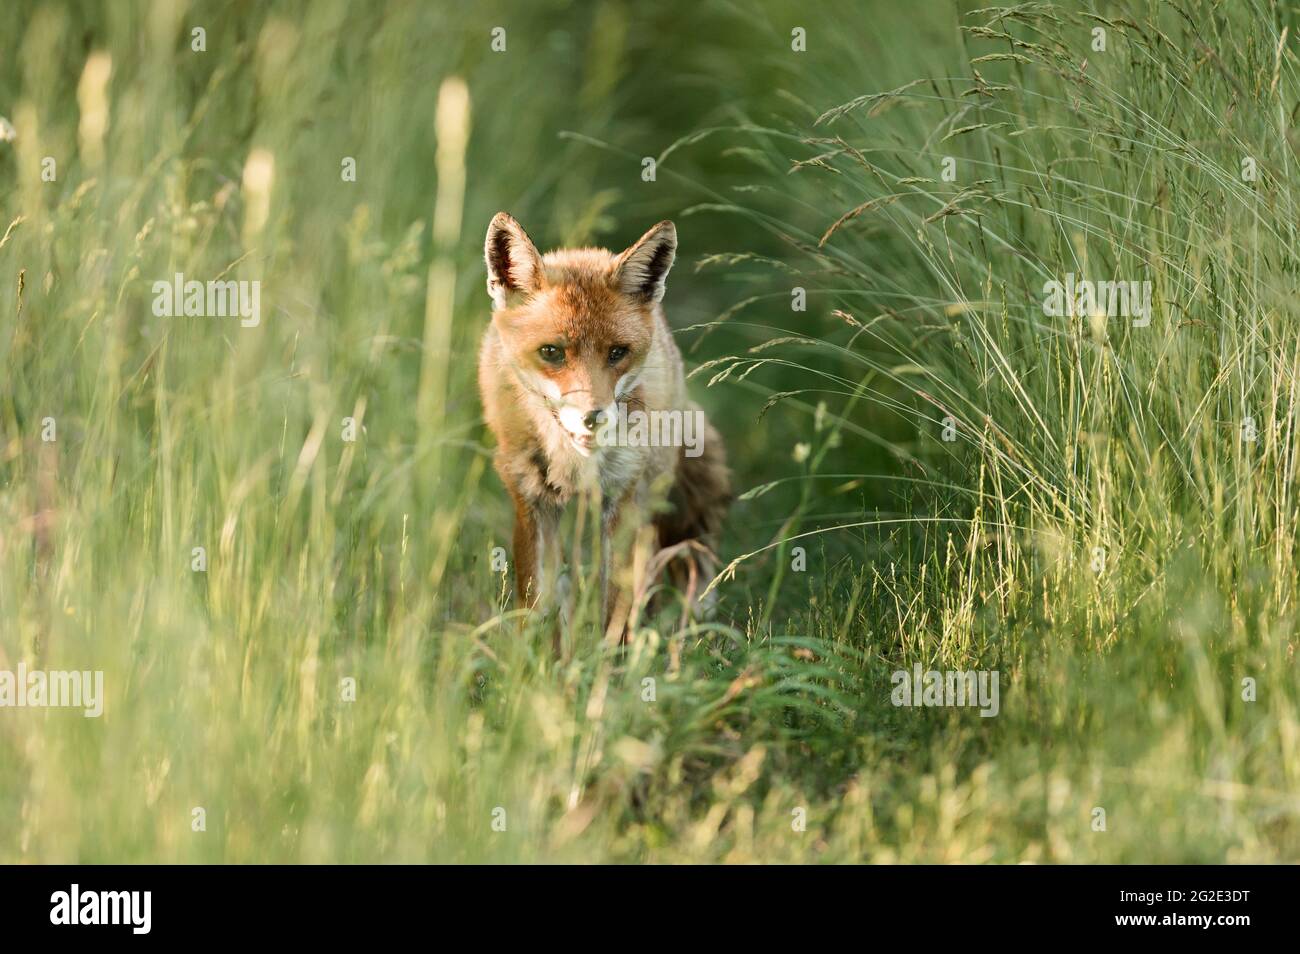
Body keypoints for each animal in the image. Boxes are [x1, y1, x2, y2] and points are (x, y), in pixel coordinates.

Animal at [477, 212, 730, 636]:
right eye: (551, 352)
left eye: (617, 353)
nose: (593, 417)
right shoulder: (530, 496)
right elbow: (537, 605)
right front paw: (536, 656)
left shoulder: (622, 496)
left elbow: (614, 608)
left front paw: (610, 654)